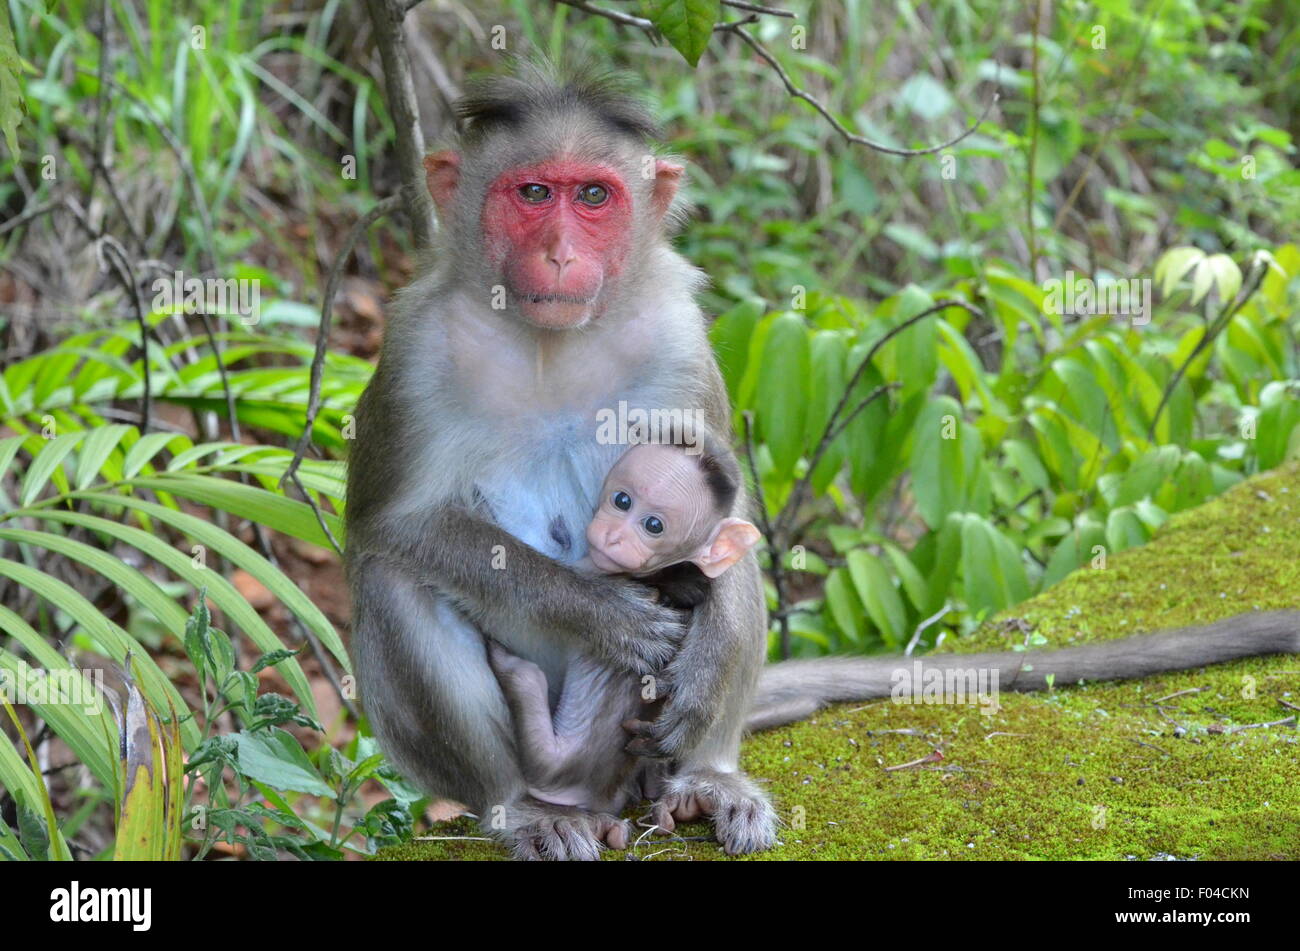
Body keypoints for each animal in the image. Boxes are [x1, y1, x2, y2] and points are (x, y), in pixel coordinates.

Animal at [484, 432, 761, 843]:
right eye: (622, 500)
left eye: (654, 525)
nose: (613, 535)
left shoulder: (596, 566)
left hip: (551, 764)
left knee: (531, 707)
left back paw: (511, 668)